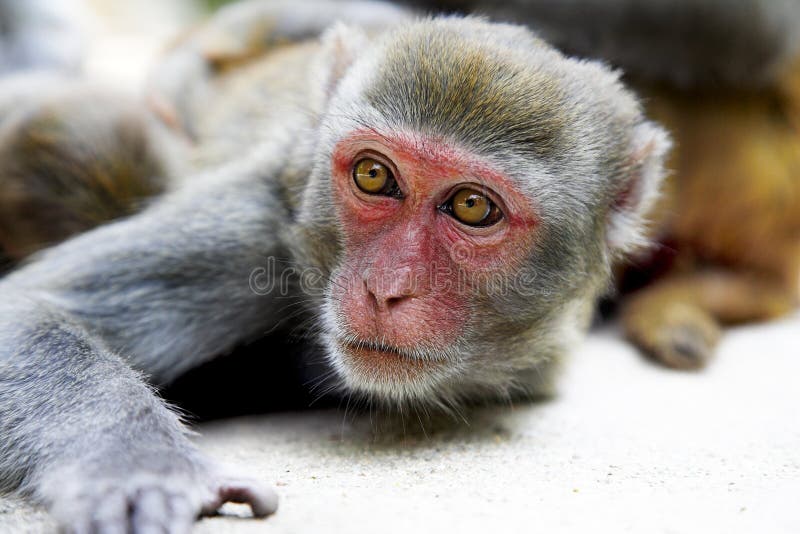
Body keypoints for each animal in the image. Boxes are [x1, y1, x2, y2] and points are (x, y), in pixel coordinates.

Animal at [0, 0, 670, 531]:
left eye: (472, 207)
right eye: (373, 175)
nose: (385, 288)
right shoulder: (260, 222)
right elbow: (27, 312)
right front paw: (142, 471)